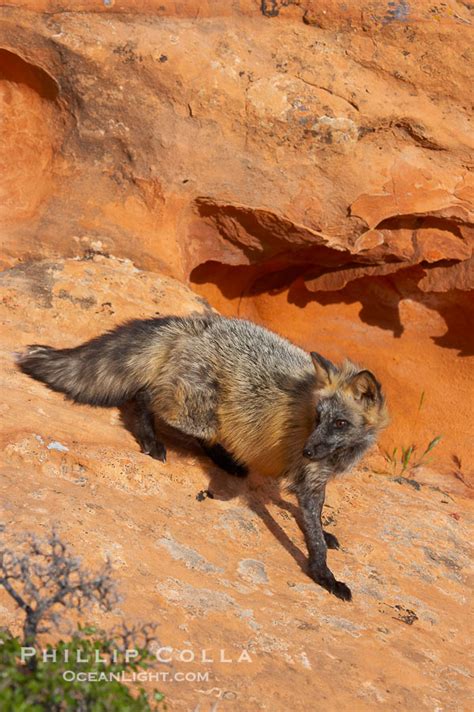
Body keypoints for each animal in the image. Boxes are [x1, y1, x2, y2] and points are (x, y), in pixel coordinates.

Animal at [16, 315, 388, 600]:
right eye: (318, 417)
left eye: (339, 423)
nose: (307, 450)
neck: (339, 454)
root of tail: (195, 322)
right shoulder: (306, 481)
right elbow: (313, 538)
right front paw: (324, 576)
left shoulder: (317, 480)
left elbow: (315, 518)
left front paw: (324, 534)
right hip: (198, 414)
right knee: (144, 395)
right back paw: (150, 439)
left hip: (212, 417)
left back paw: (226, 460)